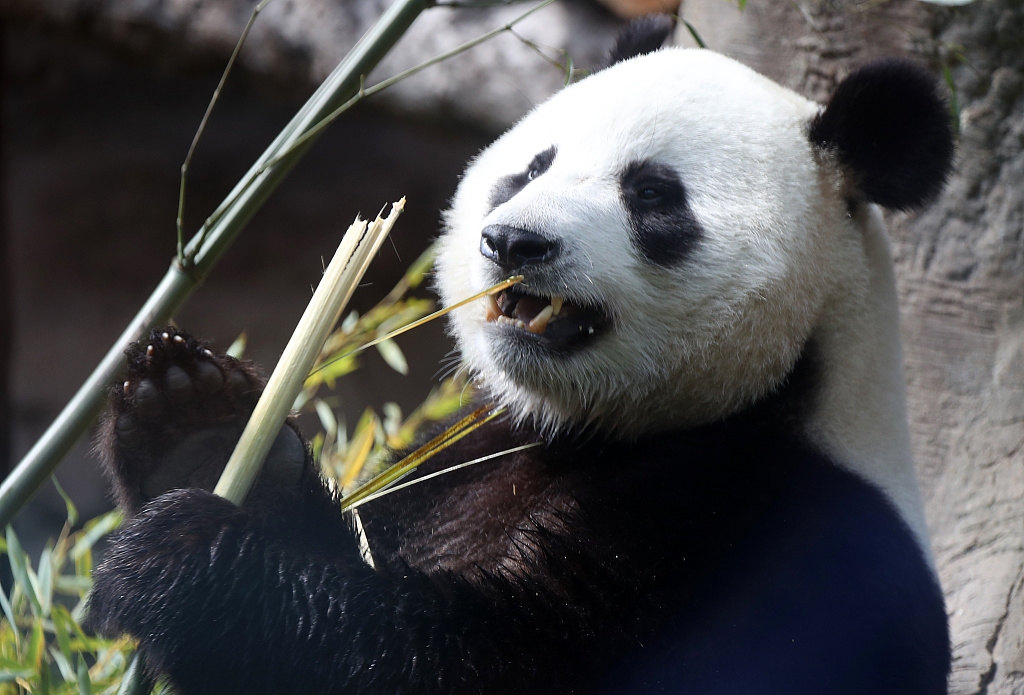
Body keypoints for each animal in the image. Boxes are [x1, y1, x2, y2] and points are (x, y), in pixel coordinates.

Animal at [87, 16, 954, 695]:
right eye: (534, 166)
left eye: (651, 194)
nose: (514, 241)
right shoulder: (466, 454)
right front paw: (196, 426)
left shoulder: (753, 528)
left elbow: (477, 661)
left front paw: (187, 557)